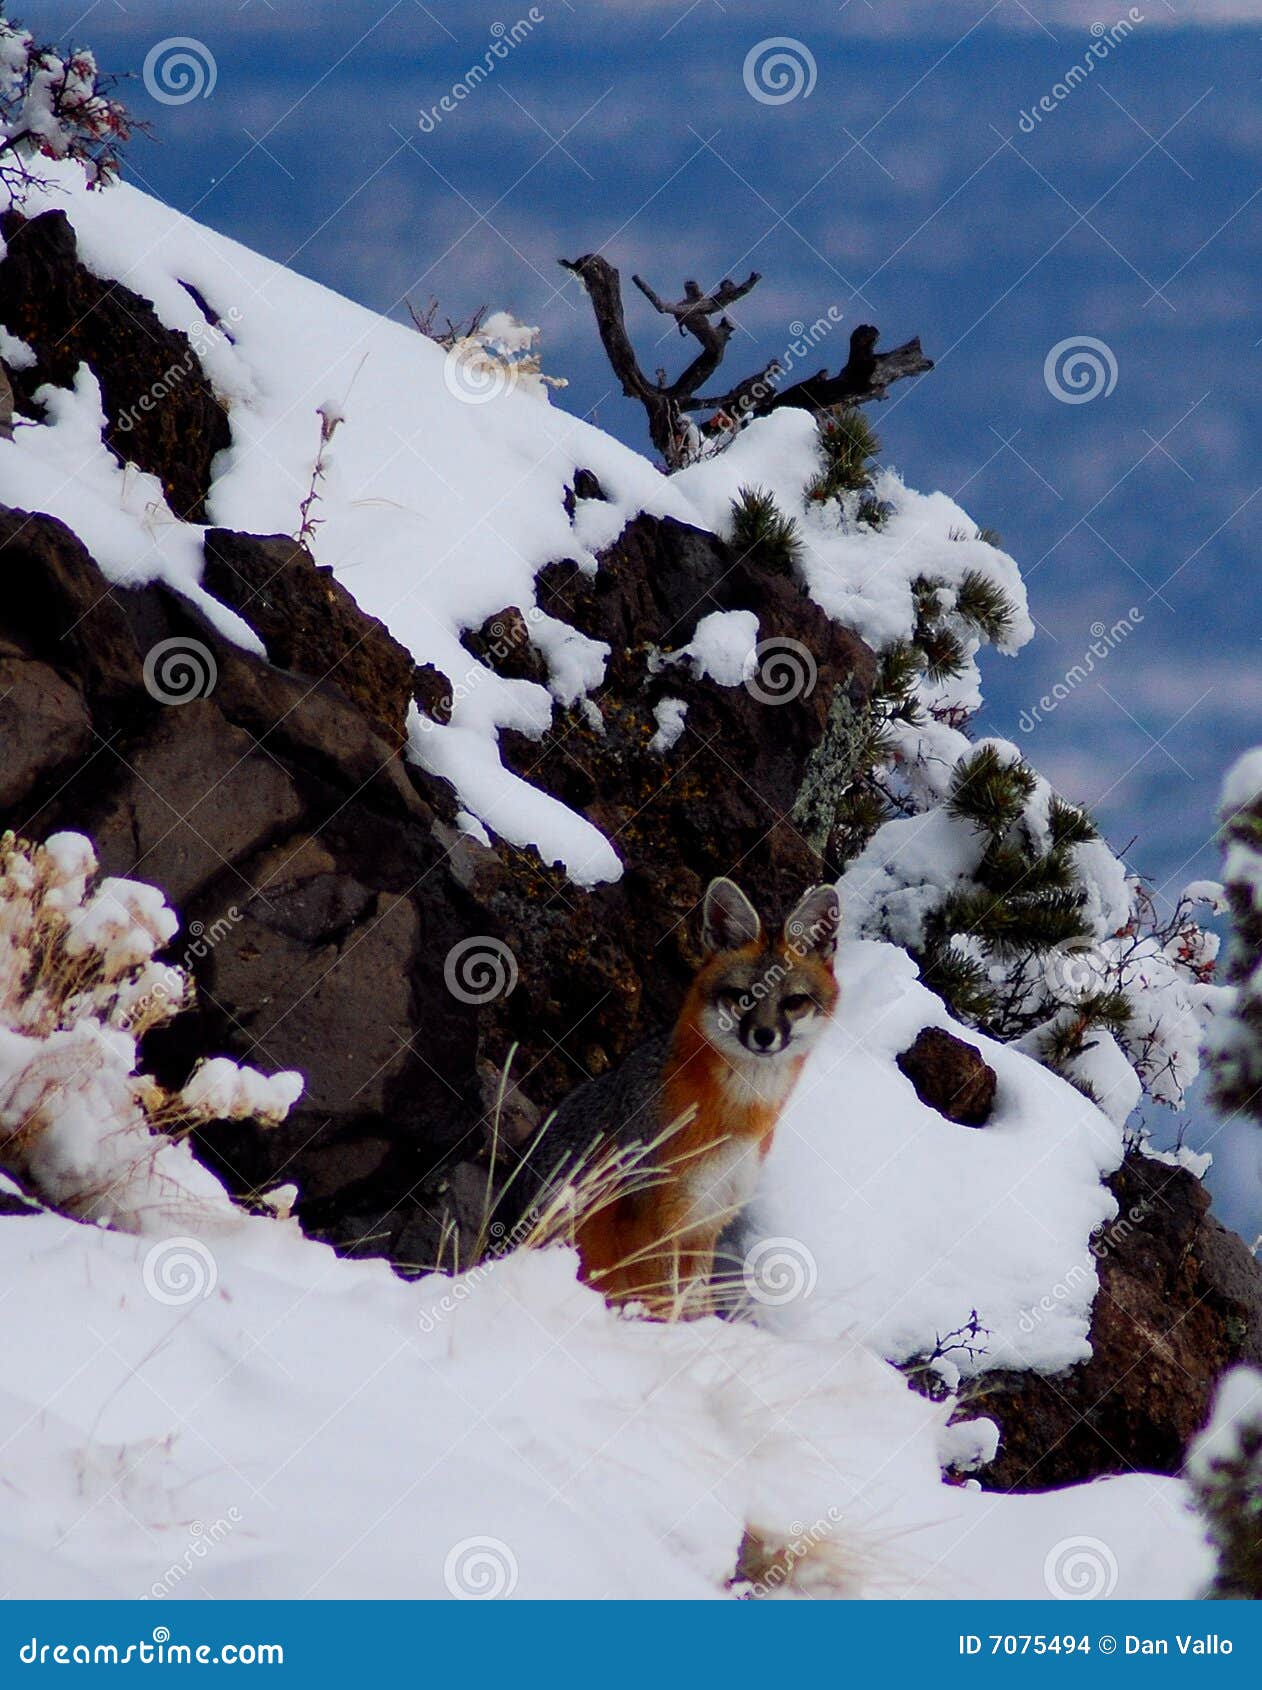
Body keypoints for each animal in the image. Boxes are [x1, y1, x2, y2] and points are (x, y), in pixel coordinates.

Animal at [526, 877, 841, 1313]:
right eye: (742, 997)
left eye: (793, 1002)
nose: (764, 1036)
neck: (738, 1117)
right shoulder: (654, 1221)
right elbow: (664, 1304)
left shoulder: (706, 1222)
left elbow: (695, 1306)